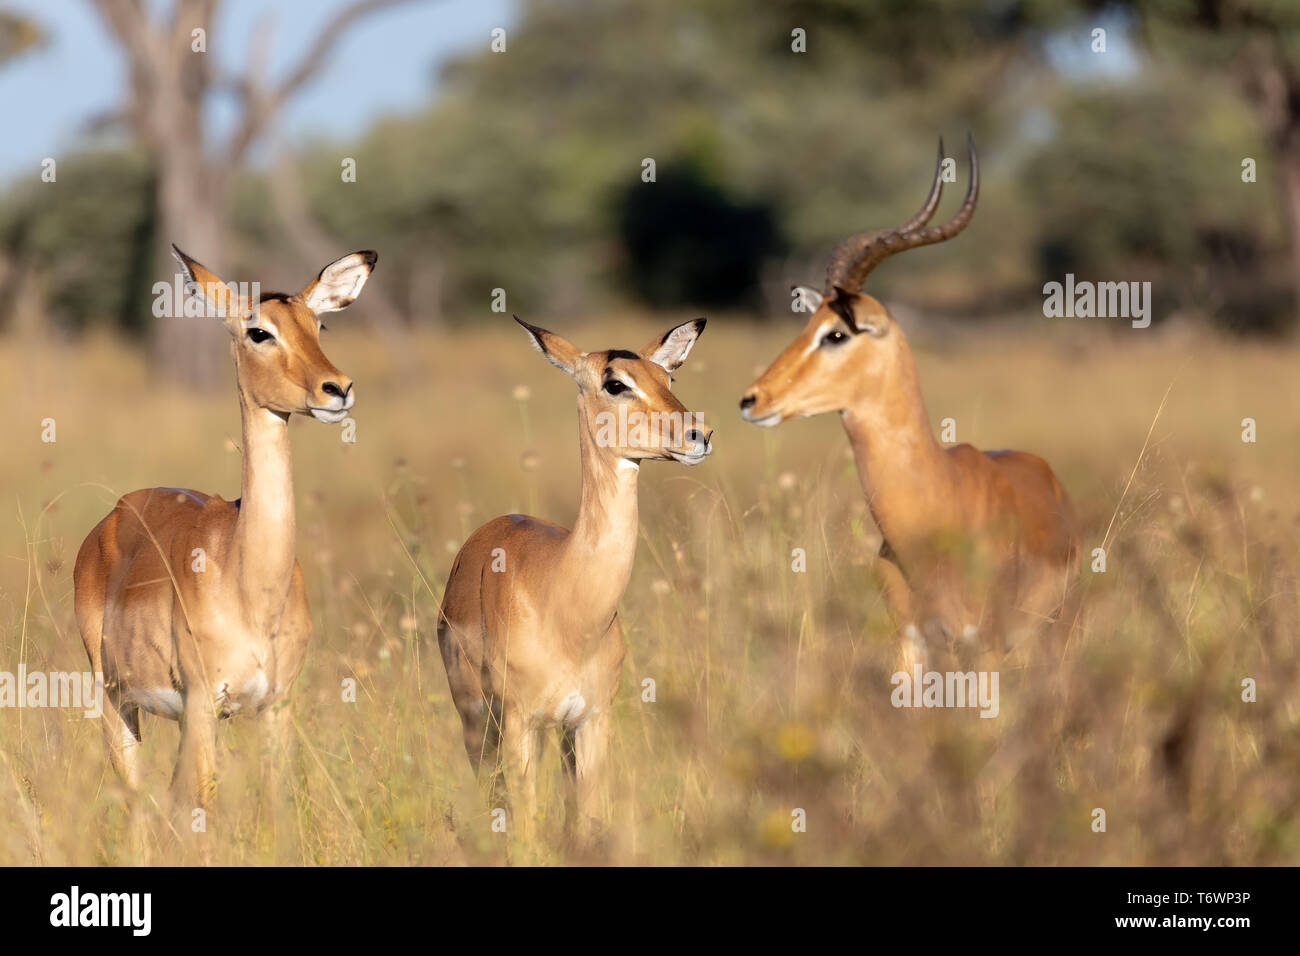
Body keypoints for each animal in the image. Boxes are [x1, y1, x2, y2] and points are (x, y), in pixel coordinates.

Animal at [73, 246, 376, 843]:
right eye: (259, 331)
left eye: (320, 325)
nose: (337, 389)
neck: (248, 583)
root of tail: (112, 516)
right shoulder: (202, 704)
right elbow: (202, 810)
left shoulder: (277, 706)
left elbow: (277, 806)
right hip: (115, 699)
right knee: (138, 801)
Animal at [437, 316, 712, 840]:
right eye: (615, 382)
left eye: (668, 377)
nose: (699, 433)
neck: (567, 604)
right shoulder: (520, 721)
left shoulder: (590, 721)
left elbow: (584, 820)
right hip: (477, 720)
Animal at [739, 136, 1075, 665]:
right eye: (807, 324)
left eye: (836, 334)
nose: (753, 399)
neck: (938, 501)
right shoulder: (911, 641)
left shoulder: (984, 646)